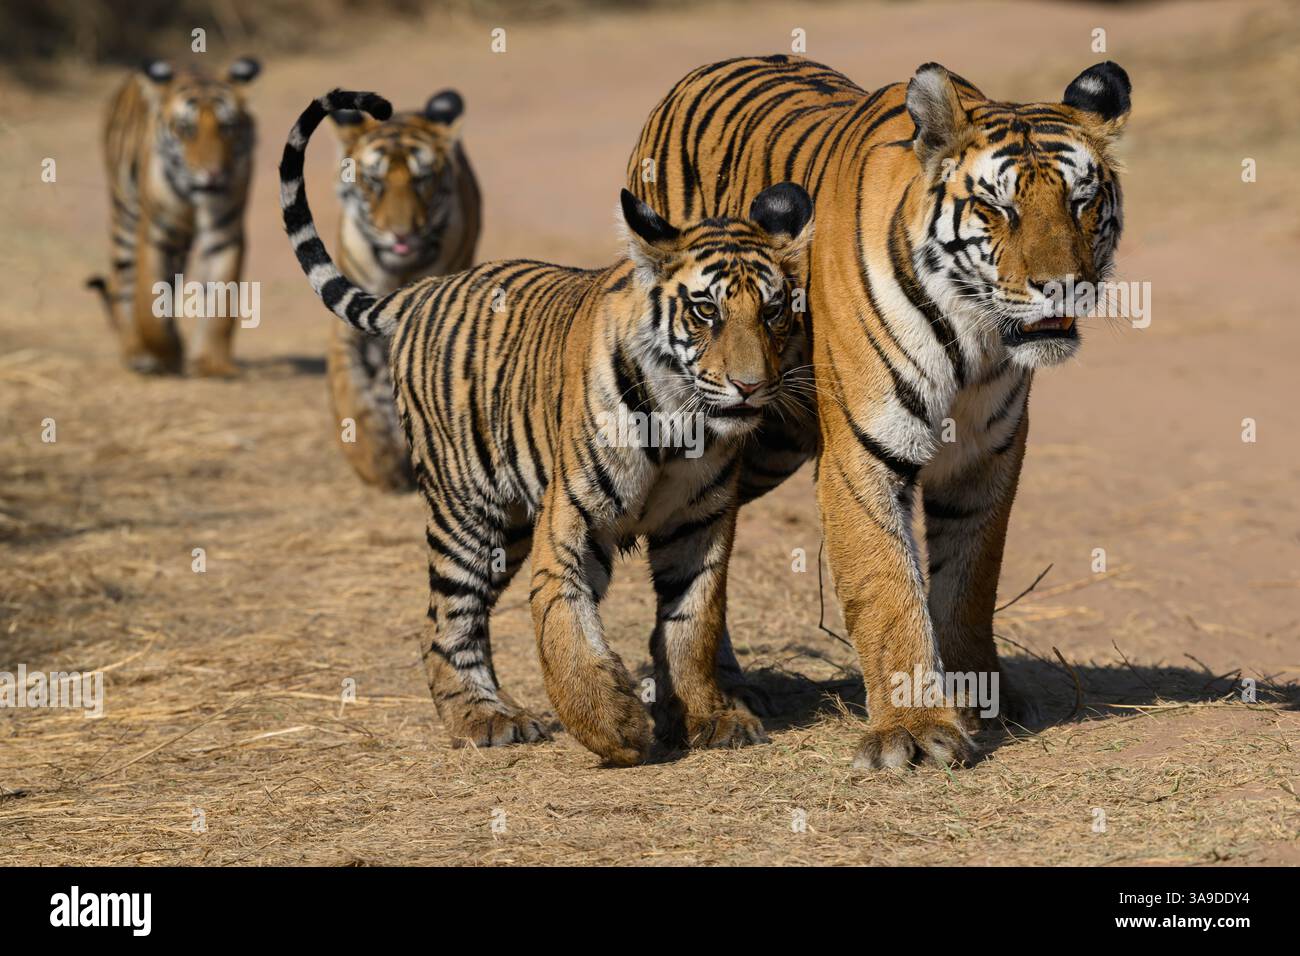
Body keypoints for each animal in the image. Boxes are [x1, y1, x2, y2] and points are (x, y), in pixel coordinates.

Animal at [87, 57, 260, 377]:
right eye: (186, 129)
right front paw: (165, 352)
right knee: (122, 282)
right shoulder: (158, 230)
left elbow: (222, 297)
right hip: (125, 215)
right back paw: (136, 351)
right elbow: (150, 303)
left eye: (227, 127)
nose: (213, 173)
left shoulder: (225, 229)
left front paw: (211, 363)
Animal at [325, 91, 481, 491]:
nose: (402, 234)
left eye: (422, 179)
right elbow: (349, 392)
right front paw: (375, 461)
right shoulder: (349, 319)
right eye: (374, 181)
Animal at [628, 55, 1131, 769]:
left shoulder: (987, 456)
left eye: (1083, 202)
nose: (1064, 287)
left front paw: (980, 697)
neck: (974, 335)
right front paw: (913, 731)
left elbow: (969, 584)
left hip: (773, 442)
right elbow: (888, 587)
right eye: (996, 208)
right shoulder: (863, 452)